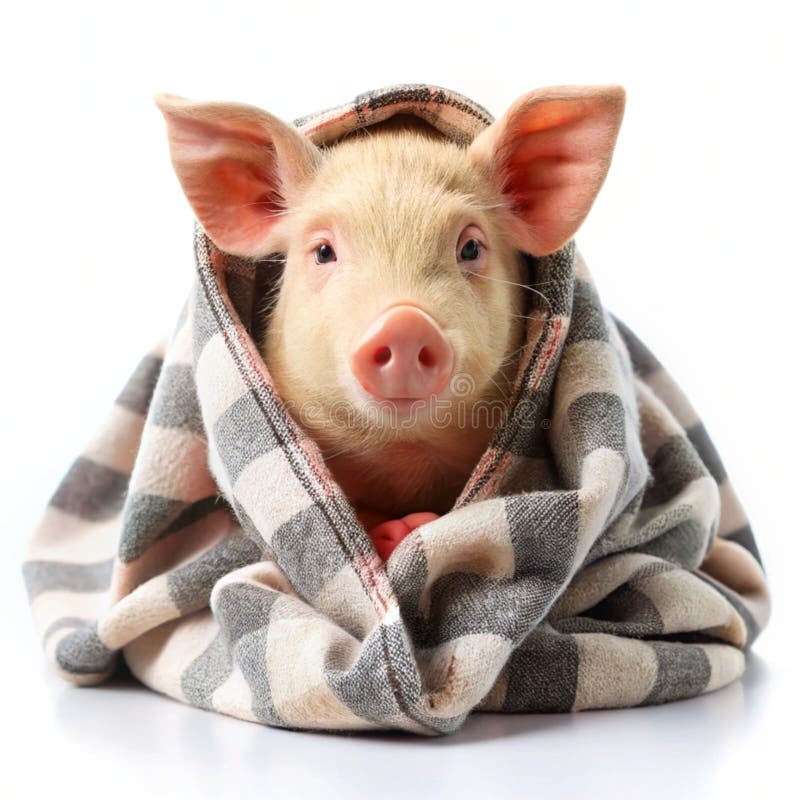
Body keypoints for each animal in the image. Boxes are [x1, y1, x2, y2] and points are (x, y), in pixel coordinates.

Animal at [156, 86, 625, 559]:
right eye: (323, 251)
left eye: (471, 247)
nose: (404, 324)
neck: (405, 457)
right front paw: (391, 533)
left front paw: (412, 528)